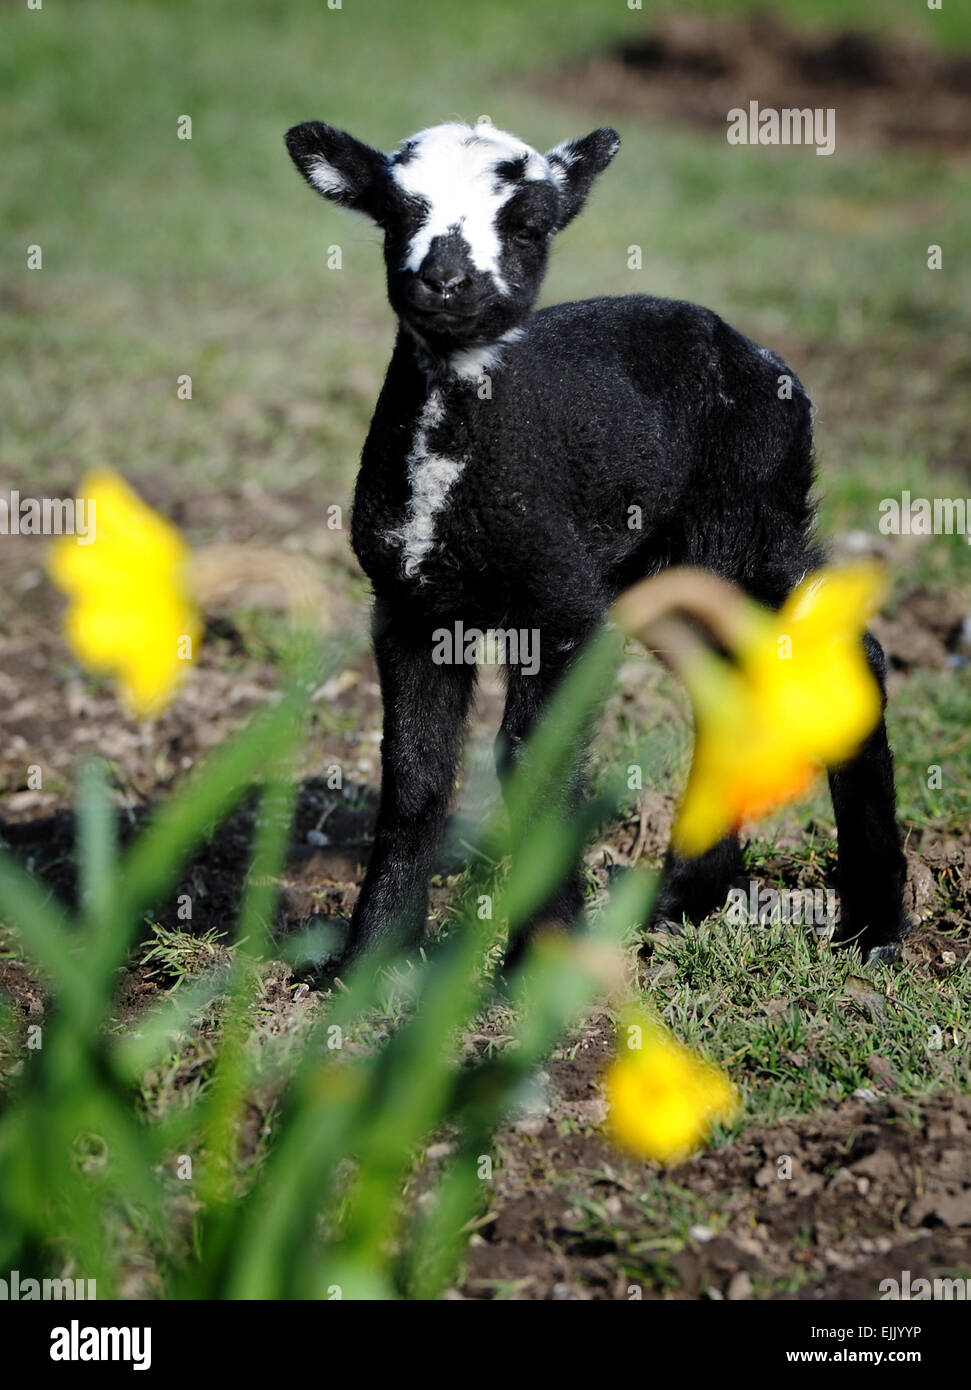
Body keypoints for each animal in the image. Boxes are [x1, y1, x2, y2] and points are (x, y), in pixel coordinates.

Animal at [284, 116, 909, 968]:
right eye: (396, 213)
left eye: (529, 225)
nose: (445, 281)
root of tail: (756, 353)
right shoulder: (407, 604)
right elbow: (414, 772)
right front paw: (368, 960)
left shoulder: (562, 608)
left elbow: (531, 760)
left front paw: (540, 958)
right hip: (662, 568)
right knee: (723, 686)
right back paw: (687, 899)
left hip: (745, 520)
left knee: (847, 653)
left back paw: (872, 926)